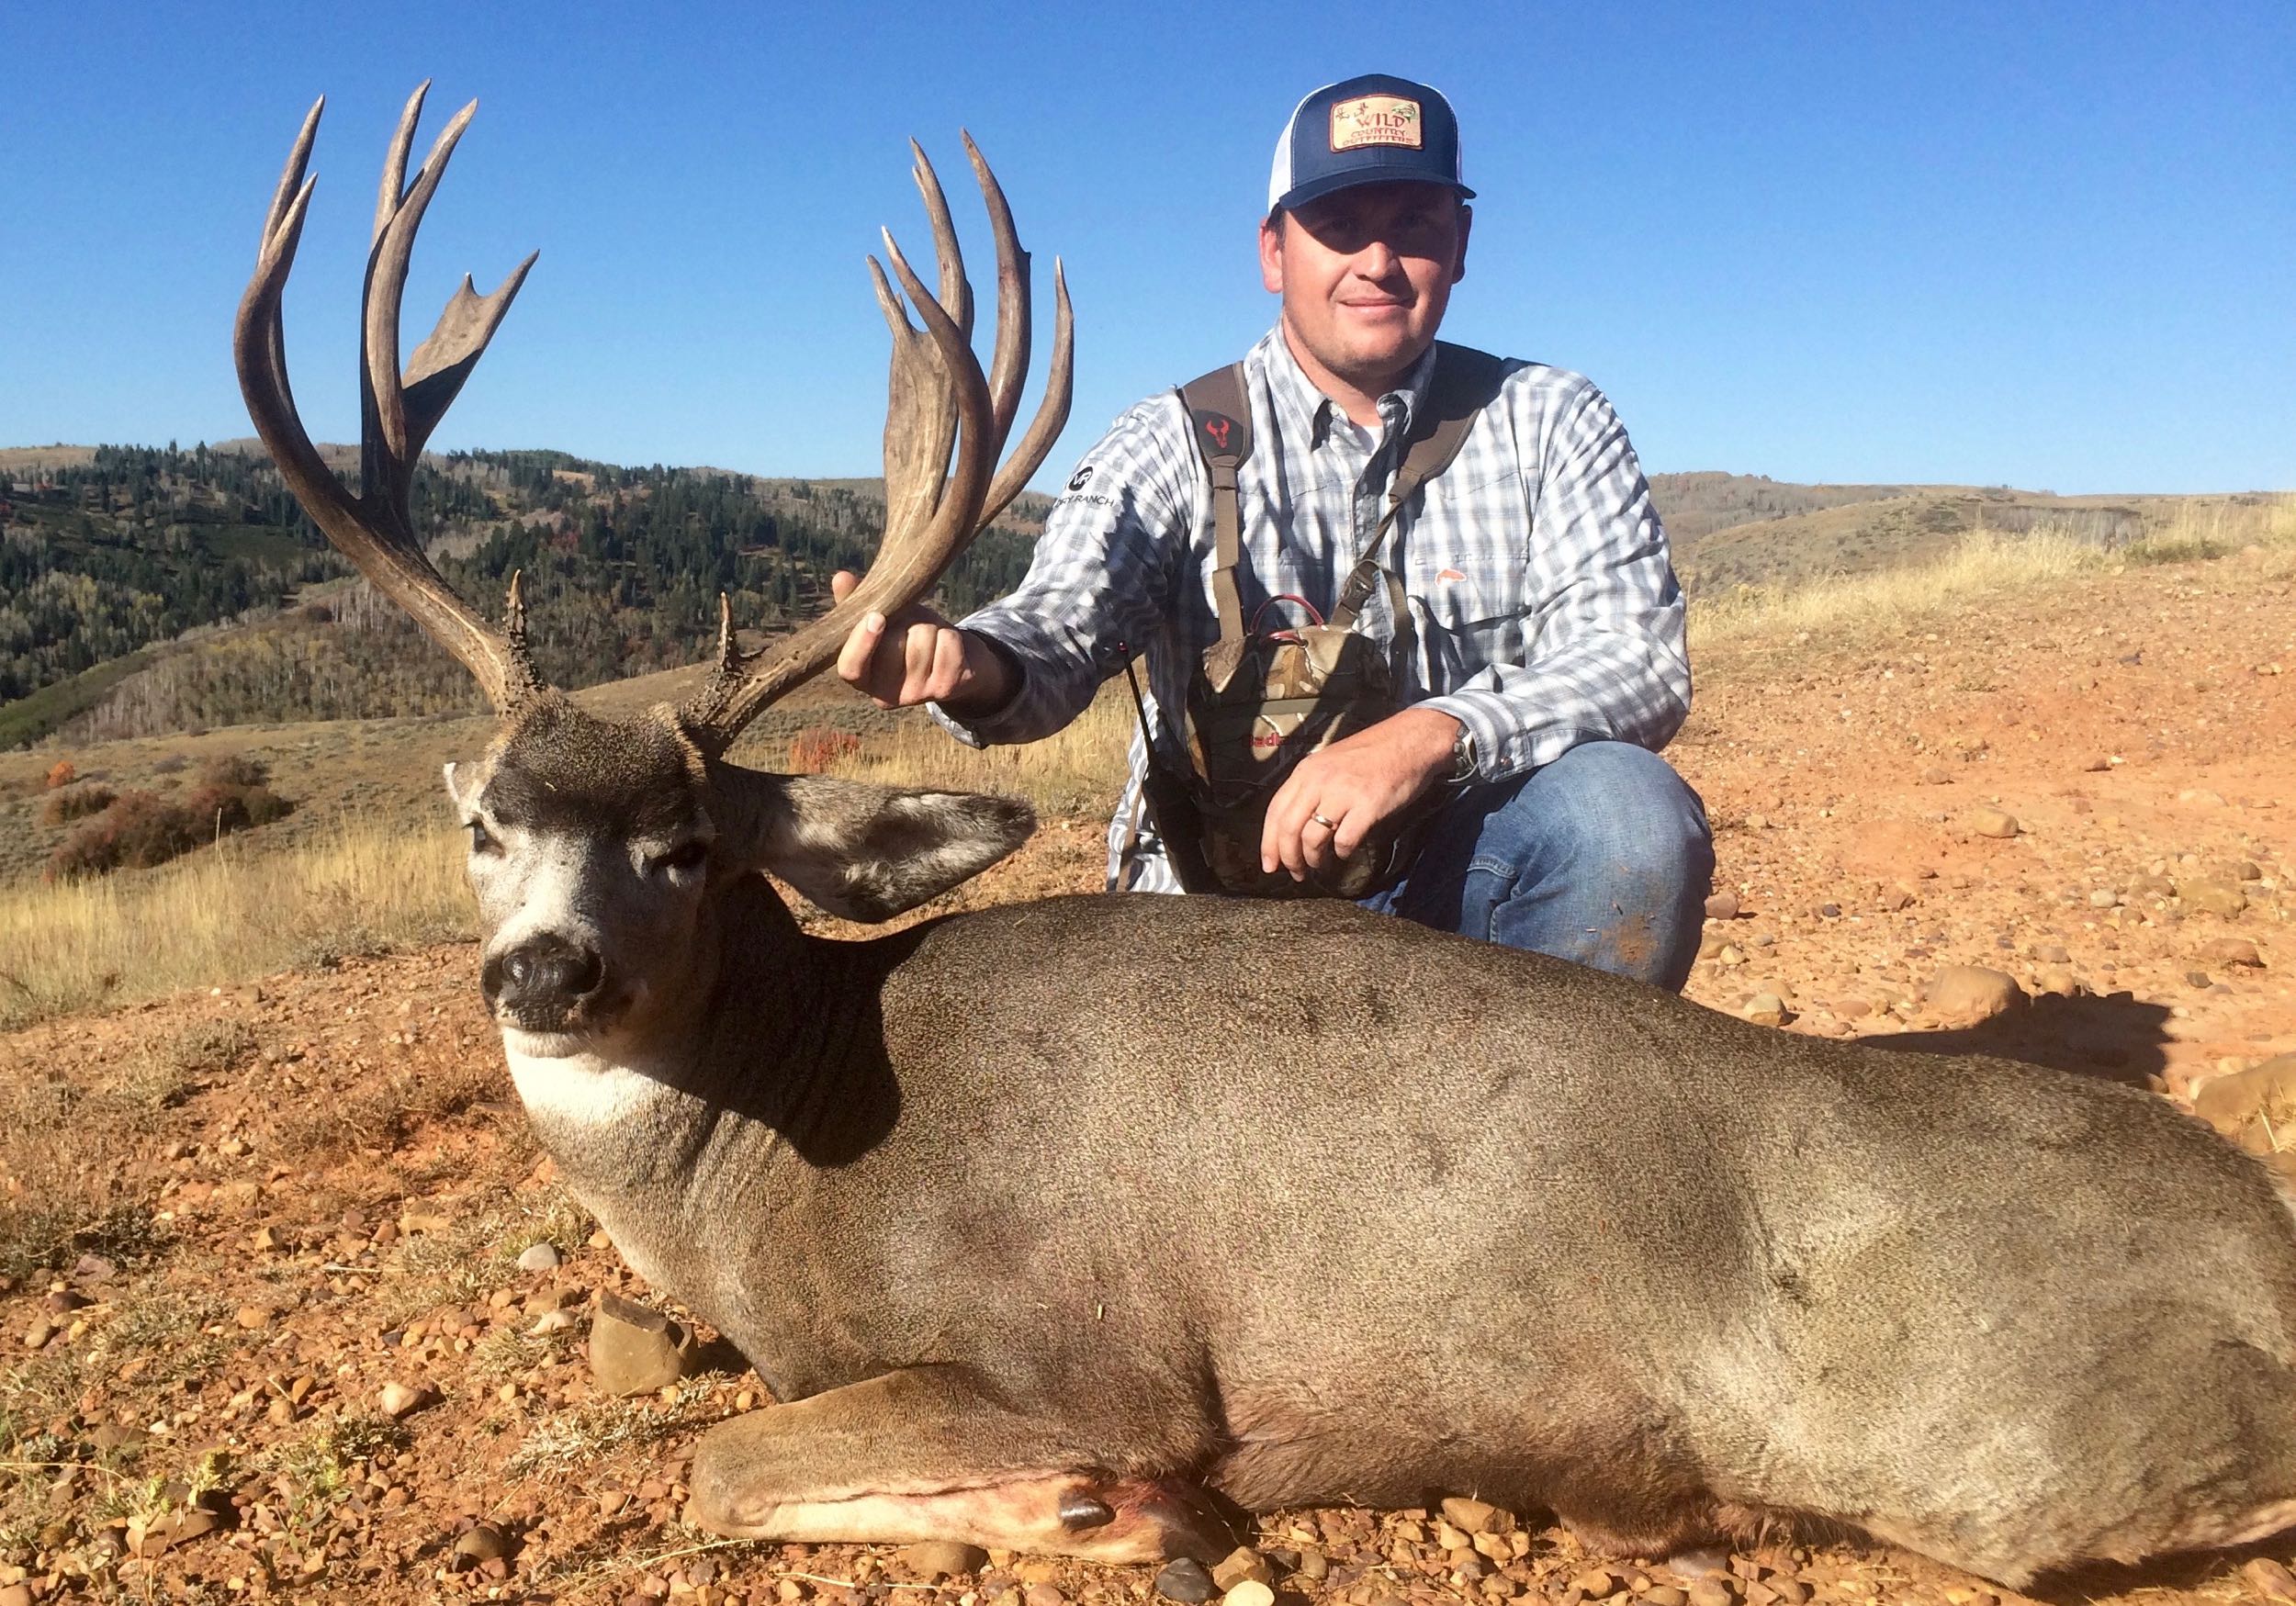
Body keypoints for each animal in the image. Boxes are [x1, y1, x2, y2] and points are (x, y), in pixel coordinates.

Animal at [234, 86, 2296, 1589]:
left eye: (684, 845)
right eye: (484, 827)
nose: (544, 971)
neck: (773, 1153)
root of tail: (2270, 1240)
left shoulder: (1085, 1350)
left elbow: (722, 1463)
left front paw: (1103, 1509)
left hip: (2009, 1438)